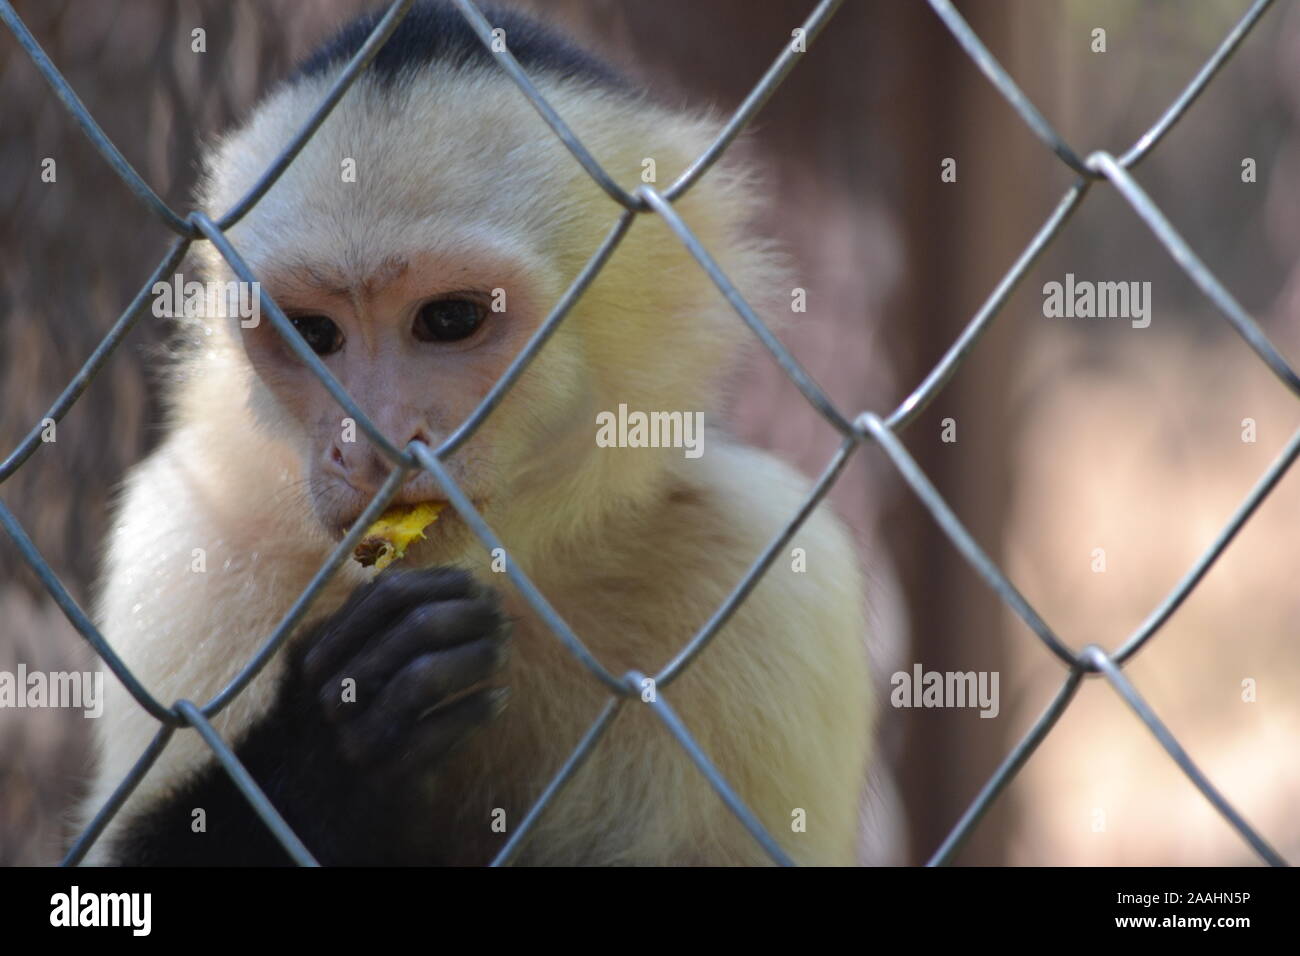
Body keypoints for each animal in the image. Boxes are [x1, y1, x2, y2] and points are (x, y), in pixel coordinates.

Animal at [79, 0, 874, 866]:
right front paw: (339, 740)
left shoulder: (761, 570)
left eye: (451, 319)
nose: (372, 444)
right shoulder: (202, 527)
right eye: (313, 334)